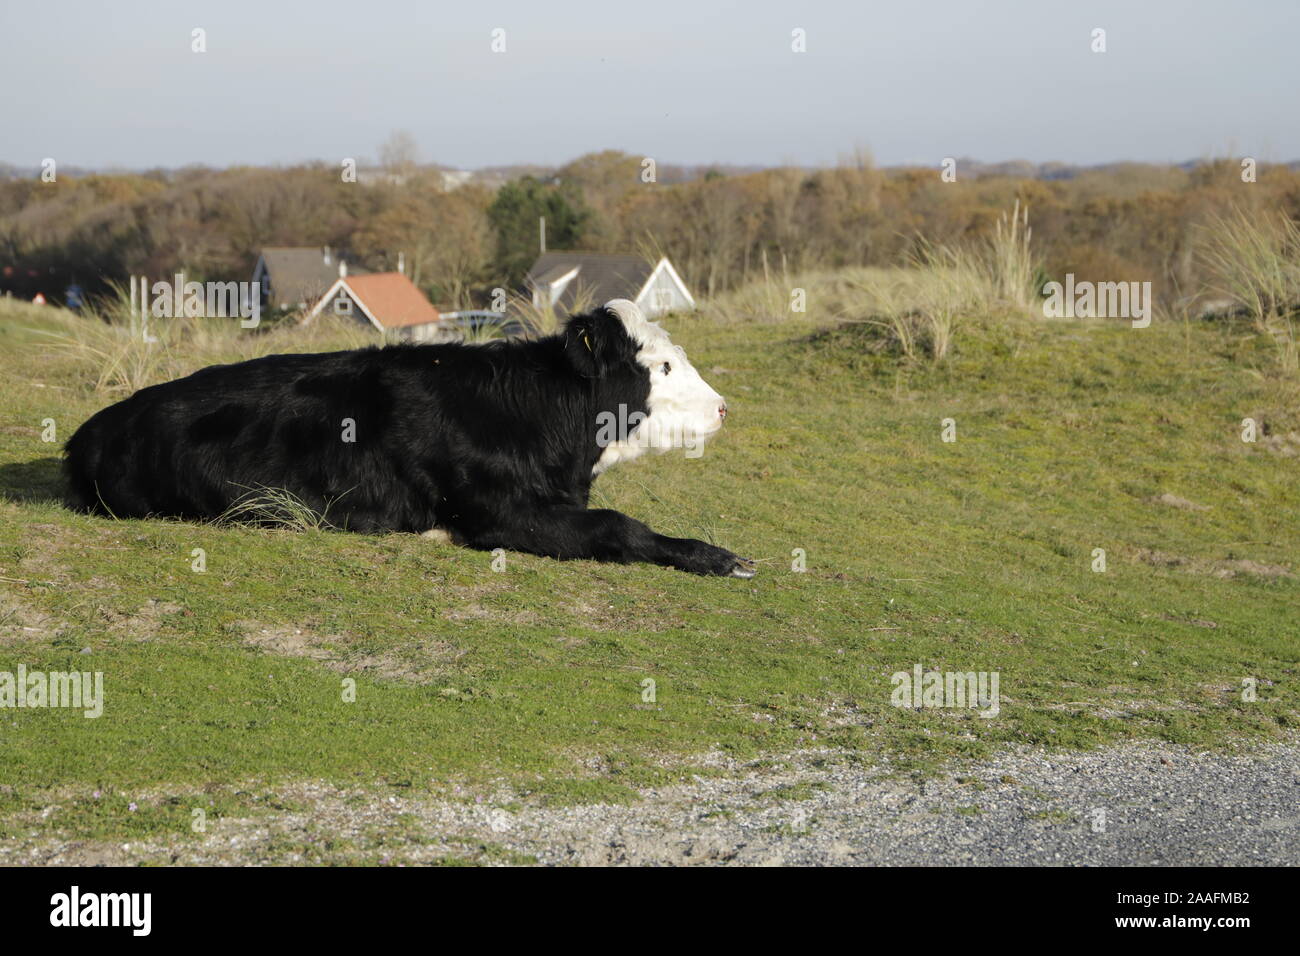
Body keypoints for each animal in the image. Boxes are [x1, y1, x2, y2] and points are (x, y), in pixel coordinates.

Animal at [64, 299, 756, 577]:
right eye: (660, 367)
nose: (724, 407)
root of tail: (96, 427)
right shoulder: (499, 512)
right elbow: (619, 526)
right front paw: (719, 557)